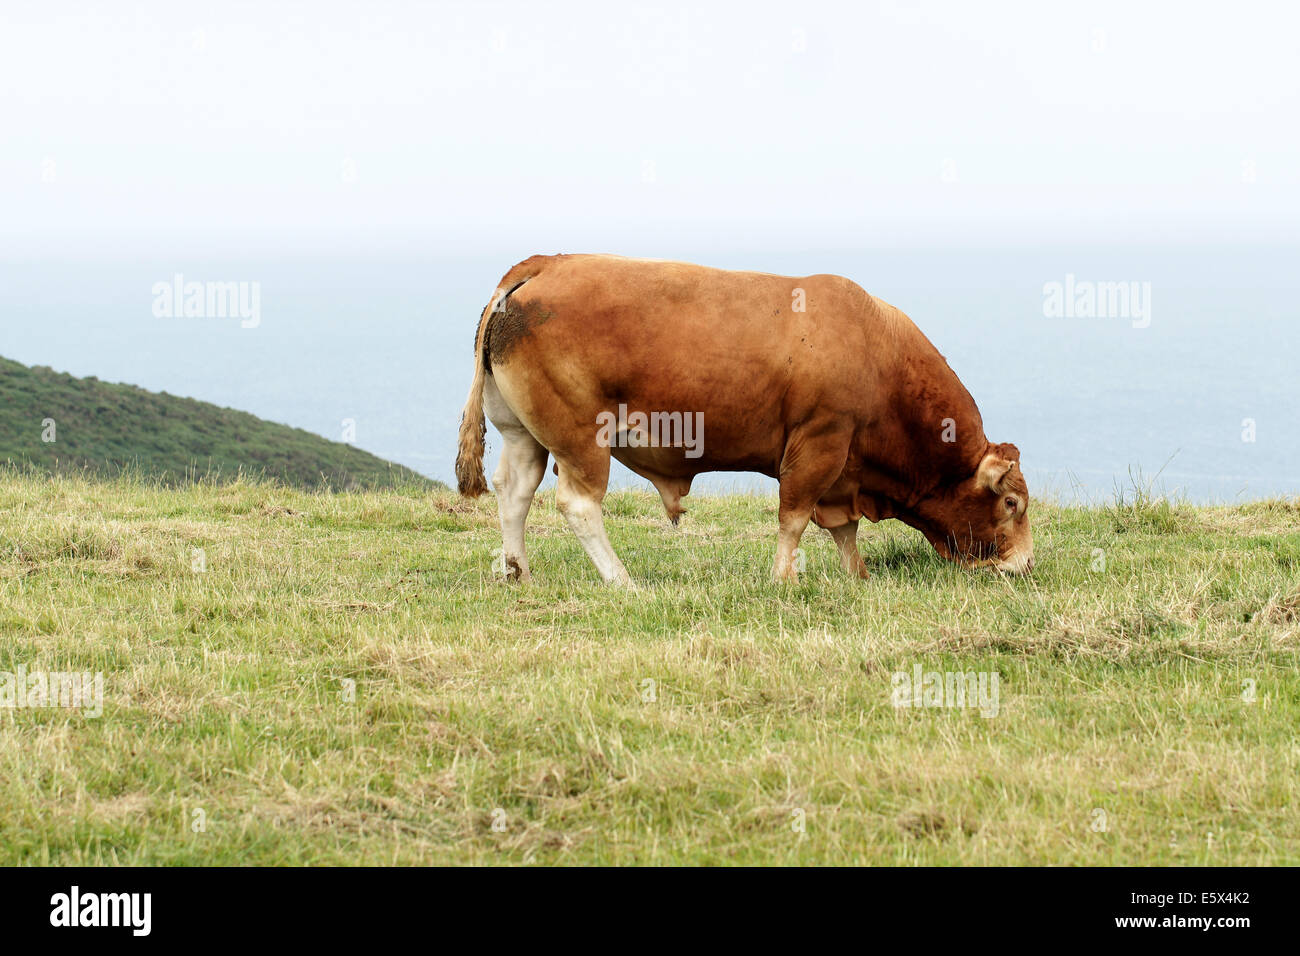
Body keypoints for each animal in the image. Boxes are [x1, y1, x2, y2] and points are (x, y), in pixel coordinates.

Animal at [456, 254, 1033, 586]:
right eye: (1011, 503)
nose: (1025, 564)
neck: (877, 352)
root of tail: (546, 263)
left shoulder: (842, 465)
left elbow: (842, 527)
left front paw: (857, 576)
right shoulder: (819, 442)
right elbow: (795, 516)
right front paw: (783, 580)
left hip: (524, 433)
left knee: (514, 492)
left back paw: (517, 570)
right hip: (580, 437)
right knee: (577, 504)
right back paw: (621, 580)